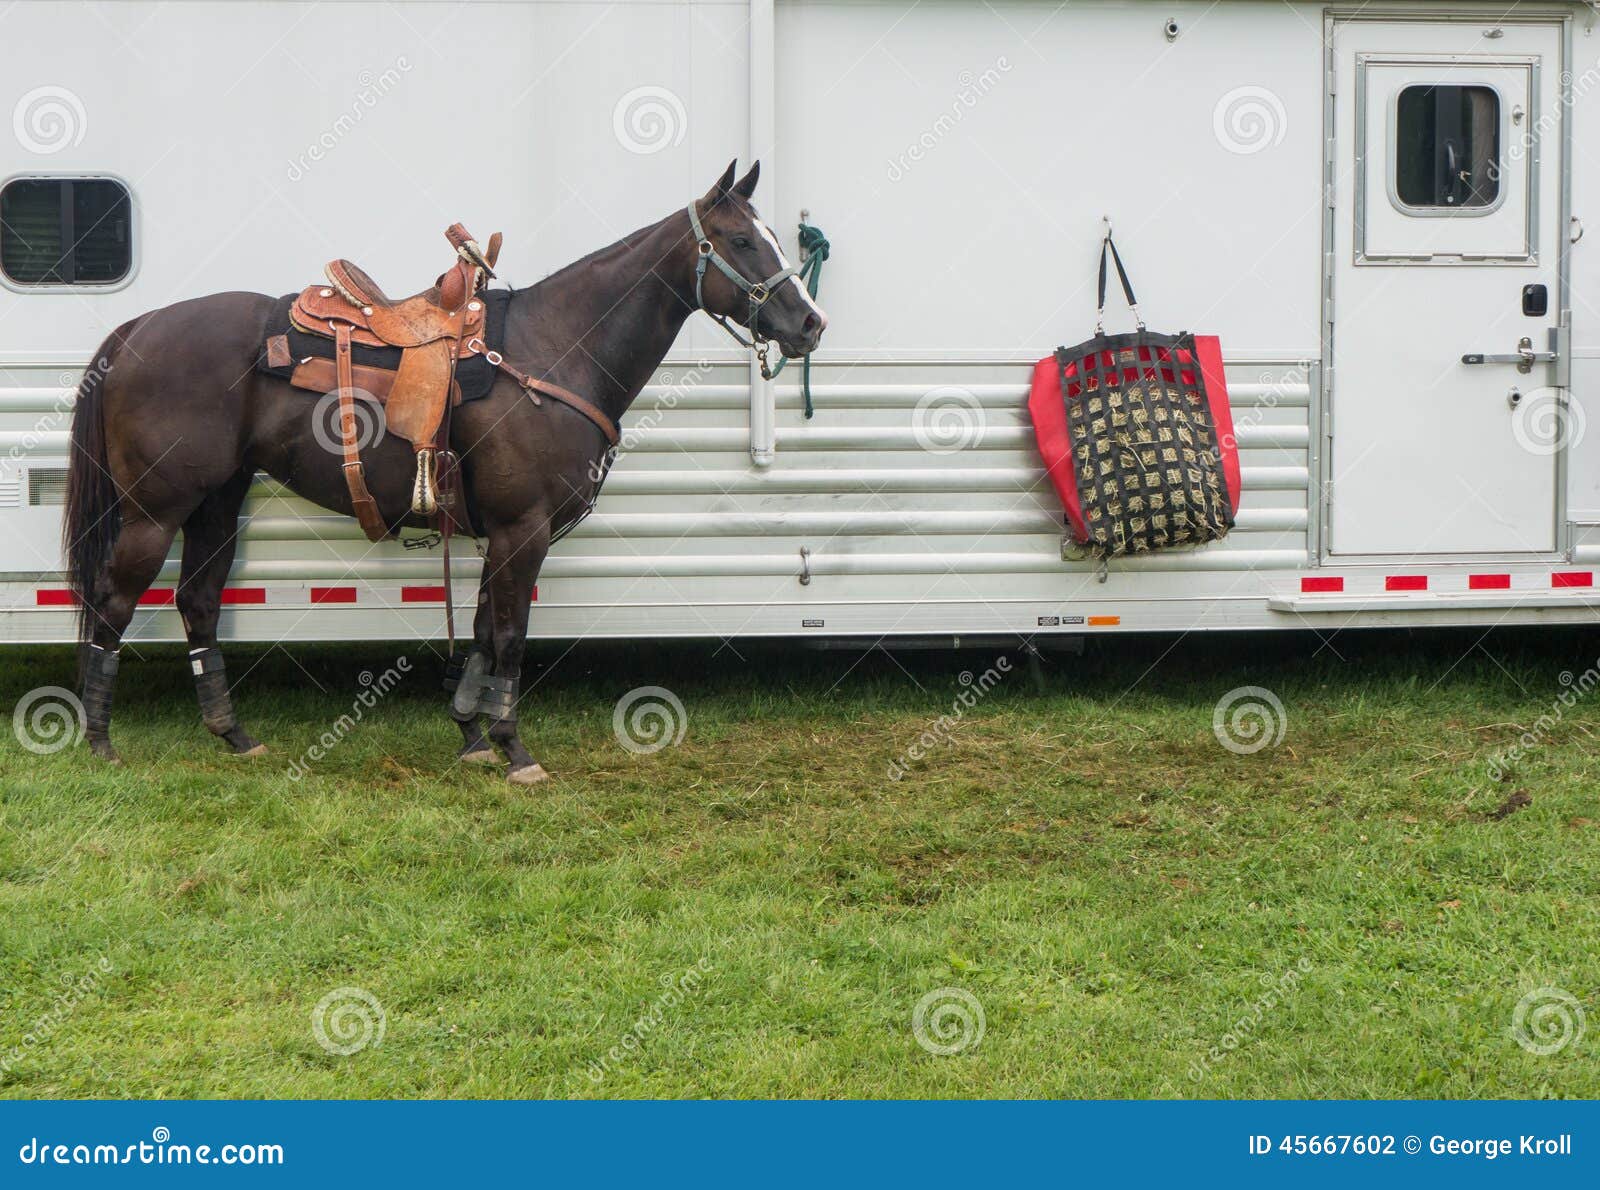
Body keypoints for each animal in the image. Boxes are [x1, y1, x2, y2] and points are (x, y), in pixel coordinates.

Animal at [61, 161, 827, 784]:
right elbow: (511, 636)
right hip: (155, 510)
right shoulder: (524, 528)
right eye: (741, 240)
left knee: (197, 601)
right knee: (112, 602)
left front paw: (471, 734)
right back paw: (100, 741)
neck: (556, 346)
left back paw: (234, 735)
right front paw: (514, 749)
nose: (810, 324)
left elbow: (484, 630)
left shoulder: (502, 532)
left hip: (218, 502)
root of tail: (136, 330)